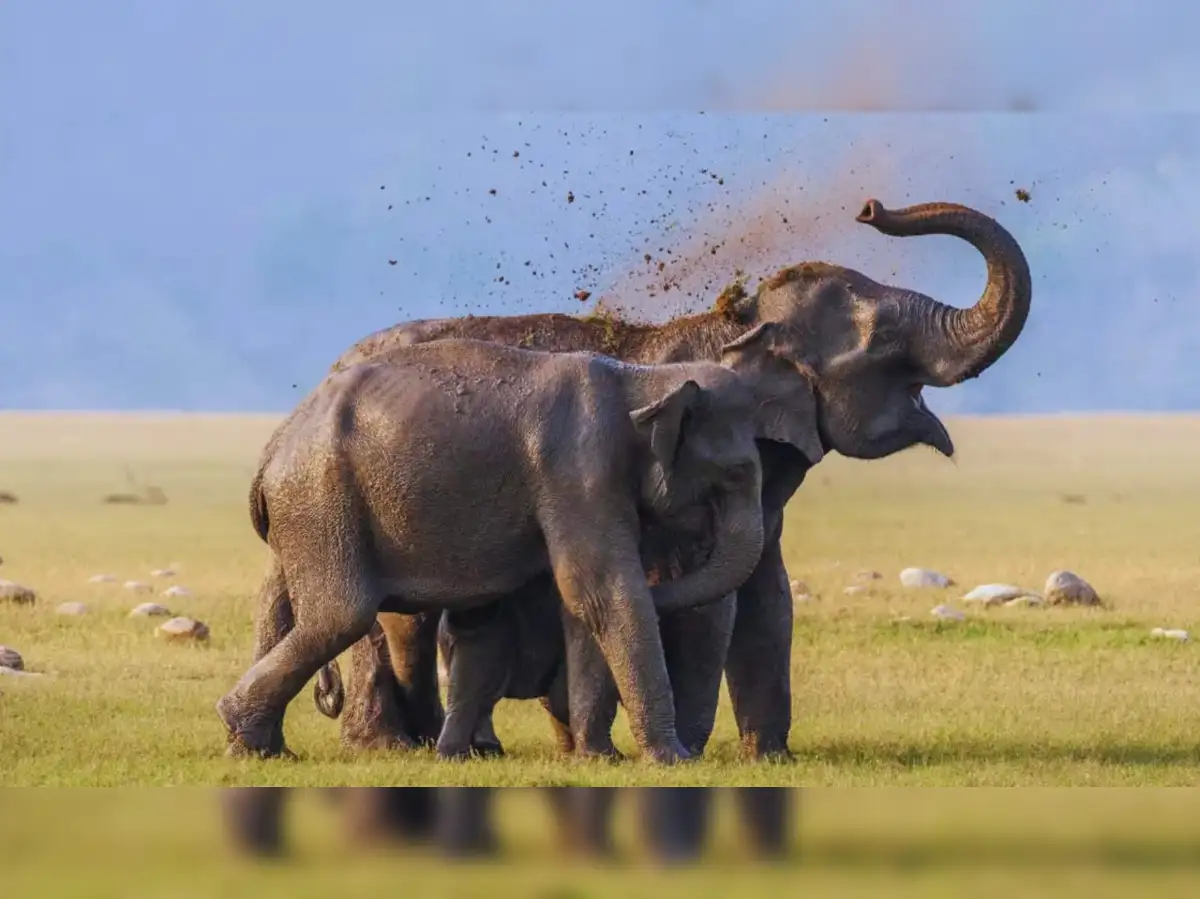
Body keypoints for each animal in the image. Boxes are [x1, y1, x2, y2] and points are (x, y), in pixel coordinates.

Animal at [217, 322, 822, 763]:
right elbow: (600, 590)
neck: (645, 379)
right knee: (340, 615)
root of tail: (271, 449)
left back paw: (264, 748)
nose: (685, 754)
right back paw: (247, 737)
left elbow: (581, 603)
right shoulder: (580, 468)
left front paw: (599, 760)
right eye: (738, 473)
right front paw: (668, 761)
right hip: (321, 501)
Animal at [311, 198, 1033, 764]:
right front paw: (686, 750)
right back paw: (394, 748)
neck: (738, 322)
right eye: (883, 340)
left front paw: (769, 757)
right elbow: (710, 599)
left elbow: (767, 596)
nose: (870, 208)